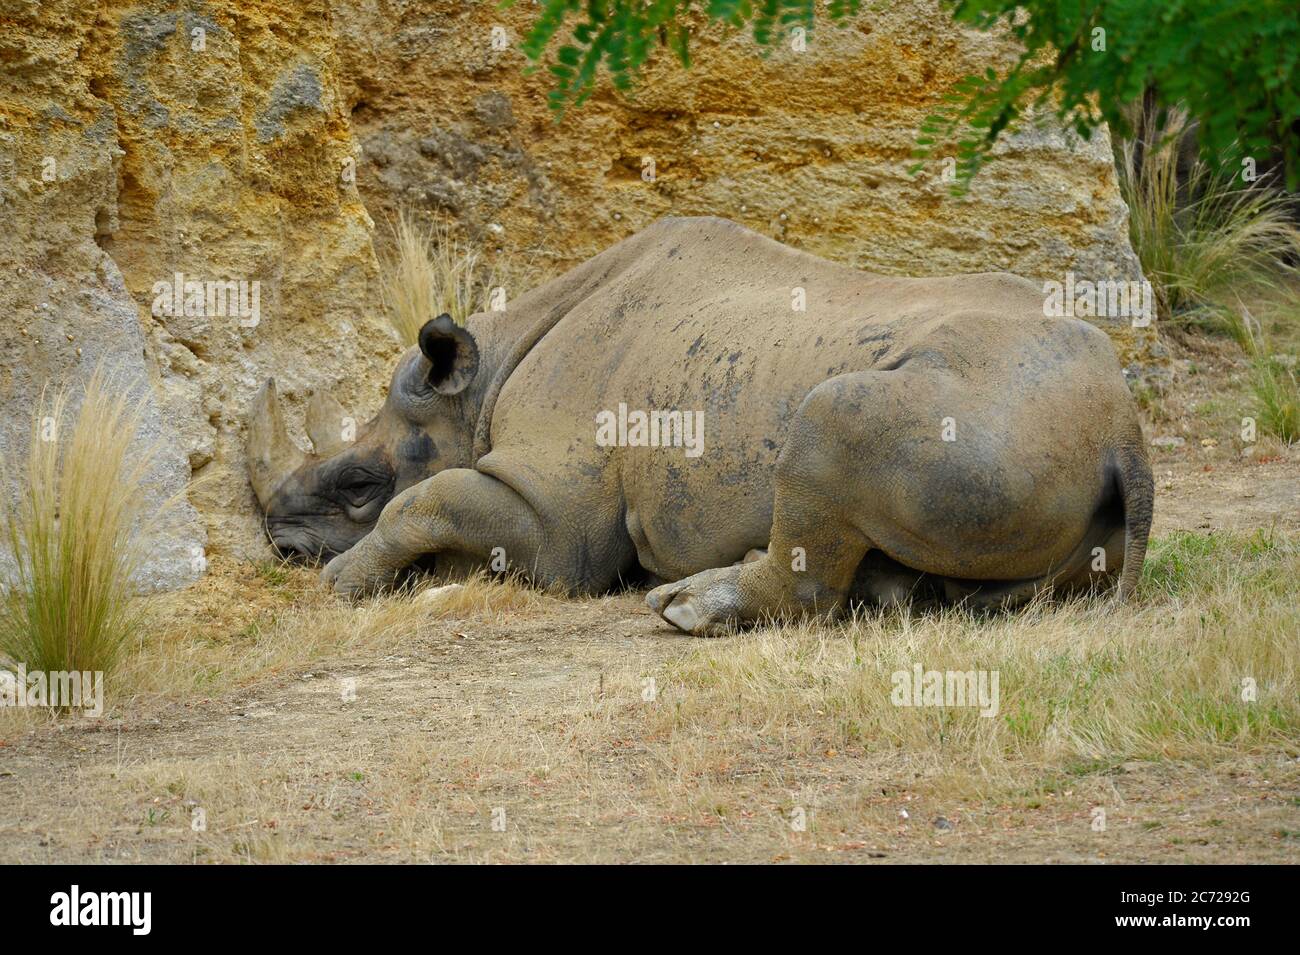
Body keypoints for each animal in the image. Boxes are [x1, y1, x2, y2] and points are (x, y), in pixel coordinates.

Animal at [248, 216, 1153, 635]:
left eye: (357, 482)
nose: (278, 542)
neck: (478, 384)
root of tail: (1125, 431)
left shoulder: (560, 519)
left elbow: (426, 500)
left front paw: (345, 581)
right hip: (1023, 424)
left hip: (985, 409)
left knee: (833, 414)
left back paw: (685, 607)